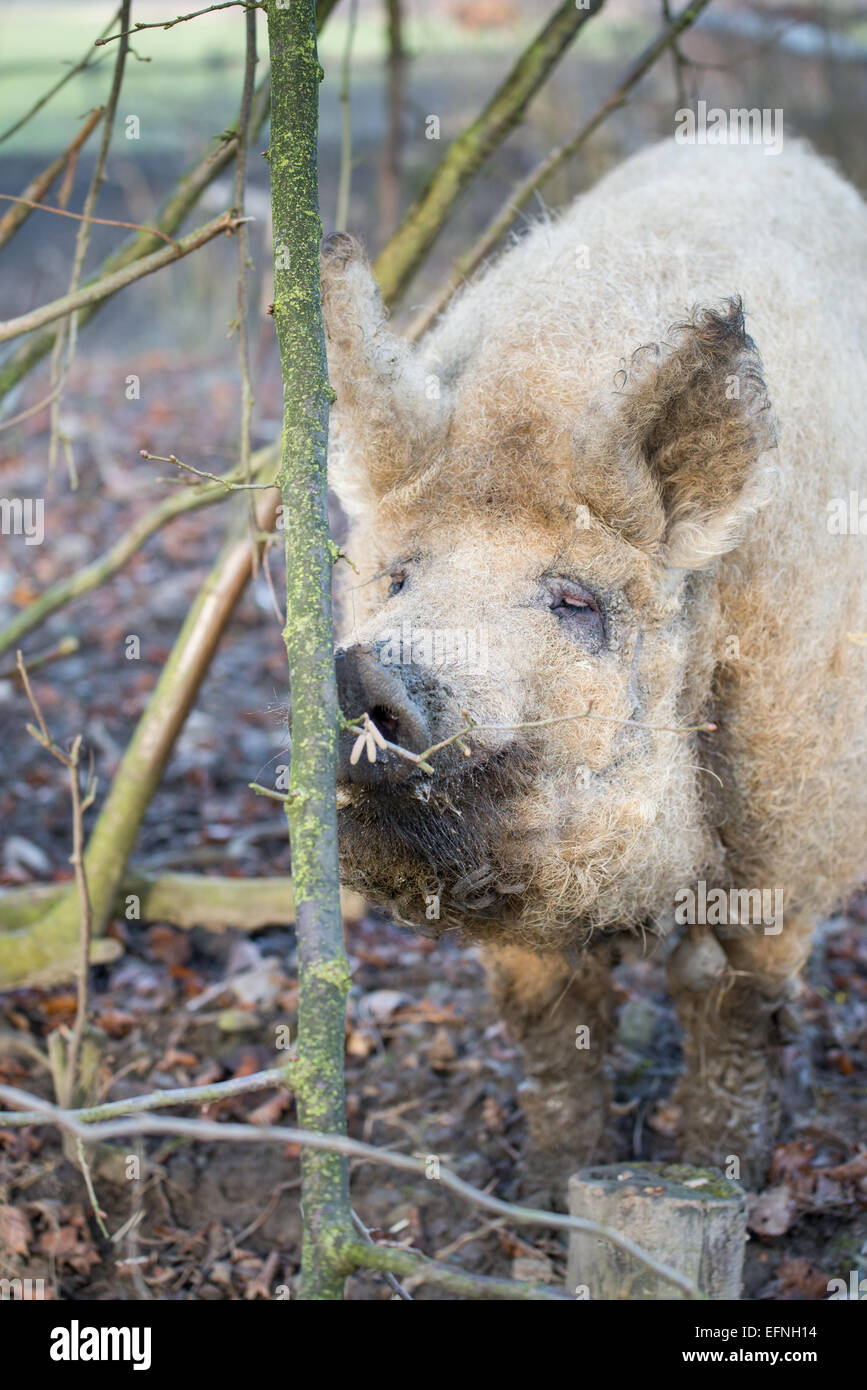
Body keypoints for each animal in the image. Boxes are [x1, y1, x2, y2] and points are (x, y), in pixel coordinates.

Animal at [321, 137, 867, 1193]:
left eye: (575, 602)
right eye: (399, 577)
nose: (368, 674)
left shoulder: (793, 834)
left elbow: (730, 1003)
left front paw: (716, 1174)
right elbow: (548, 1020)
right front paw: (548, 1189)